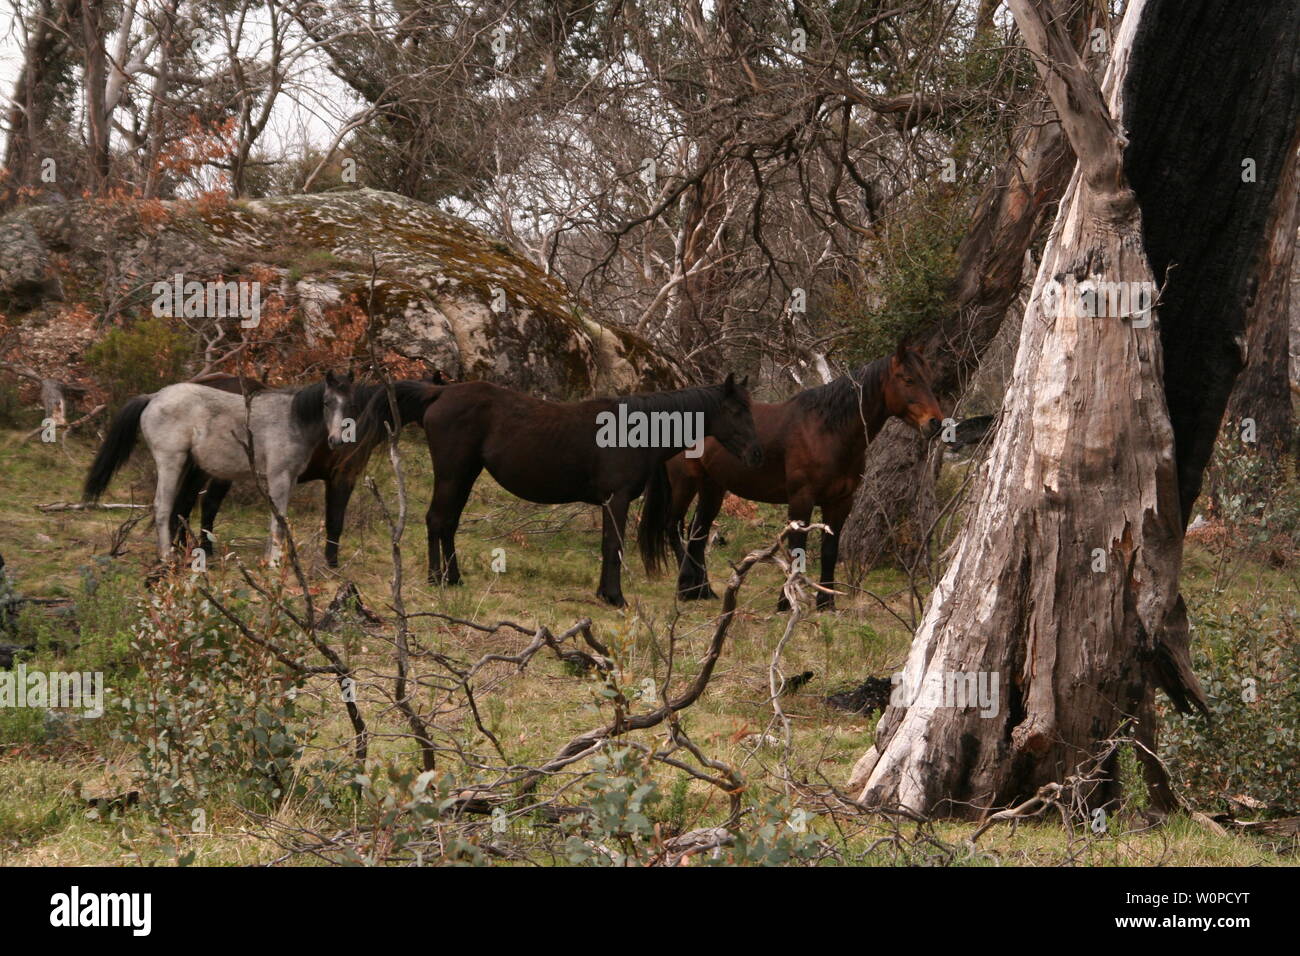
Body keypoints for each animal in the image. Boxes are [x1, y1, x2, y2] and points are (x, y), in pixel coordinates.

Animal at [82, 371, 361, 564]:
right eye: (326, 402)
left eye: (351, 404)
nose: (338, 440)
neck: (291, 420)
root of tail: (154, 397)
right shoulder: (279, 478)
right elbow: (279, 520)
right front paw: (273, 561)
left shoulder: (288, 479)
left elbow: (277, 519)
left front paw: (270, 558)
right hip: (170, 461)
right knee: (162, 506)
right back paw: (166, 556)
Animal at [379, 374, 763, 607]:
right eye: (734, 409)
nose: (755, 454)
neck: (632, 431)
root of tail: (441, 392)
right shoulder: (617, 499)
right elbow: (613, 547)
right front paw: (615, 597)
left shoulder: (611, 502)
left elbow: (608, 546)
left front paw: (605, 593)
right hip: (452, 473)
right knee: (437, 520)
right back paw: (437, 579)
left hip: (465, 474)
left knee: (447, 523)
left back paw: (453, 578)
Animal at [657, 344, 944, 610]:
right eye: (908, 379)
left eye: (930, 378)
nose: (935, 422)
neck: (826, 431)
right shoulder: (801, 499)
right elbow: (798, 549)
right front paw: (786, 601)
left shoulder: (840, 502)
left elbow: (829, 551)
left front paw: (826, 603)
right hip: (684, 482)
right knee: (673, 526)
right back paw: (686, 588)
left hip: (713, 485)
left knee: (698, 531)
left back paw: (703, 591)